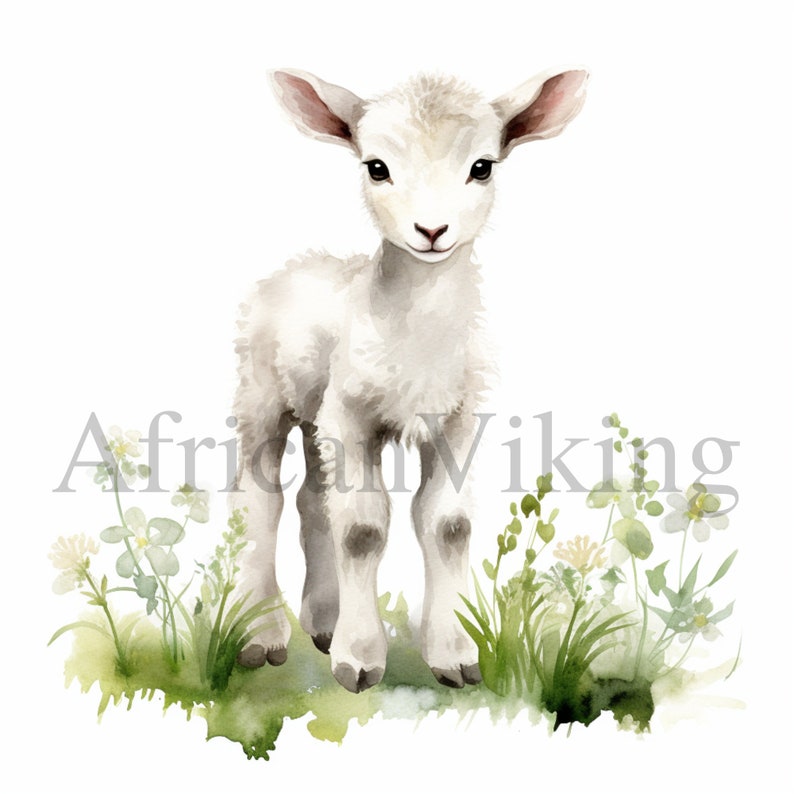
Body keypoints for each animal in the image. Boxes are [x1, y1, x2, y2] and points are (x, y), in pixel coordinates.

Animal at [232, 67, 587, 692]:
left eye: (482, 166)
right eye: (376, 167)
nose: (432, 229)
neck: (418, 339)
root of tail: (301, 262)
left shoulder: (458, 418)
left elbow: (448, 524)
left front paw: (454, 655)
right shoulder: (352, 417)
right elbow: (363, 530)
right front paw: (358, 659)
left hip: (317, 411)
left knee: (311, 500)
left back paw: (323, 621)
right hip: (264, 397)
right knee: (262, 500)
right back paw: (264, 634)